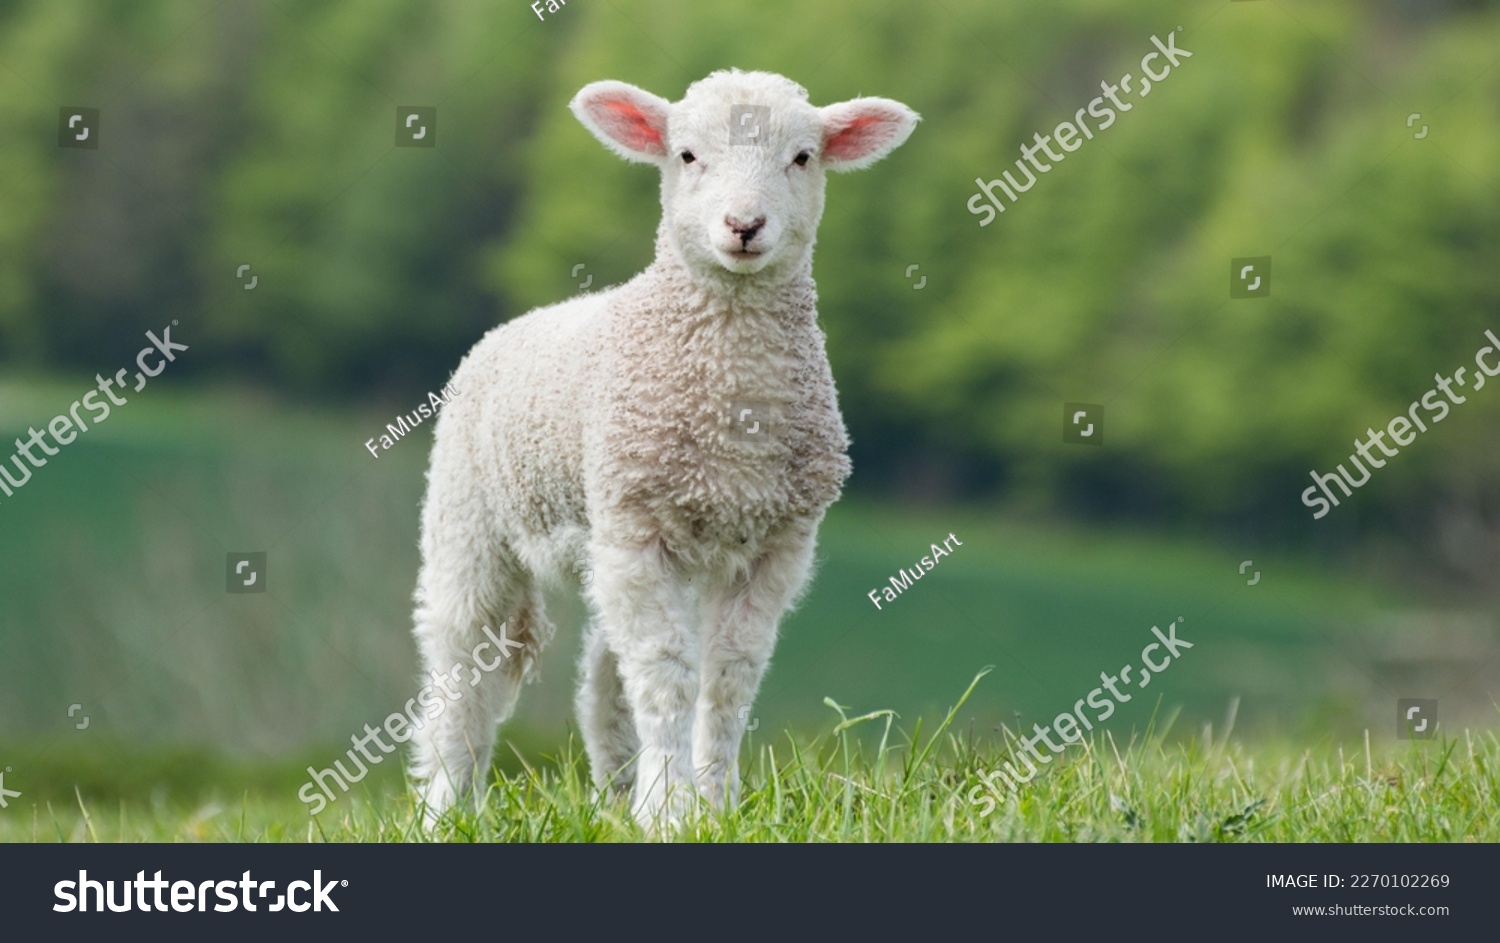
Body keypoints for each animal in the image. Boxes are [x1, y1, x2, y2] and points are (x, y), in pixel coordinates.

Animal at [409, 69, 919, 828]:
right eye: (686, 155)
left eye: (803, 157)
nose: (744, 226)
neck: (733, 418)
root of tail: (511, 326)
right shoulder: (638, 527)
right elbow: (667, 670)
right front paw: (670, 811)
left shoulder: (775, 543)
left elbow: (728, 674)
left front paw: (714, 802)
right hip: (469, 518)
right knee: (462, 664)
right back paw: (447, 805)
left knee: (601, 671)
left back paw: (617, 792)